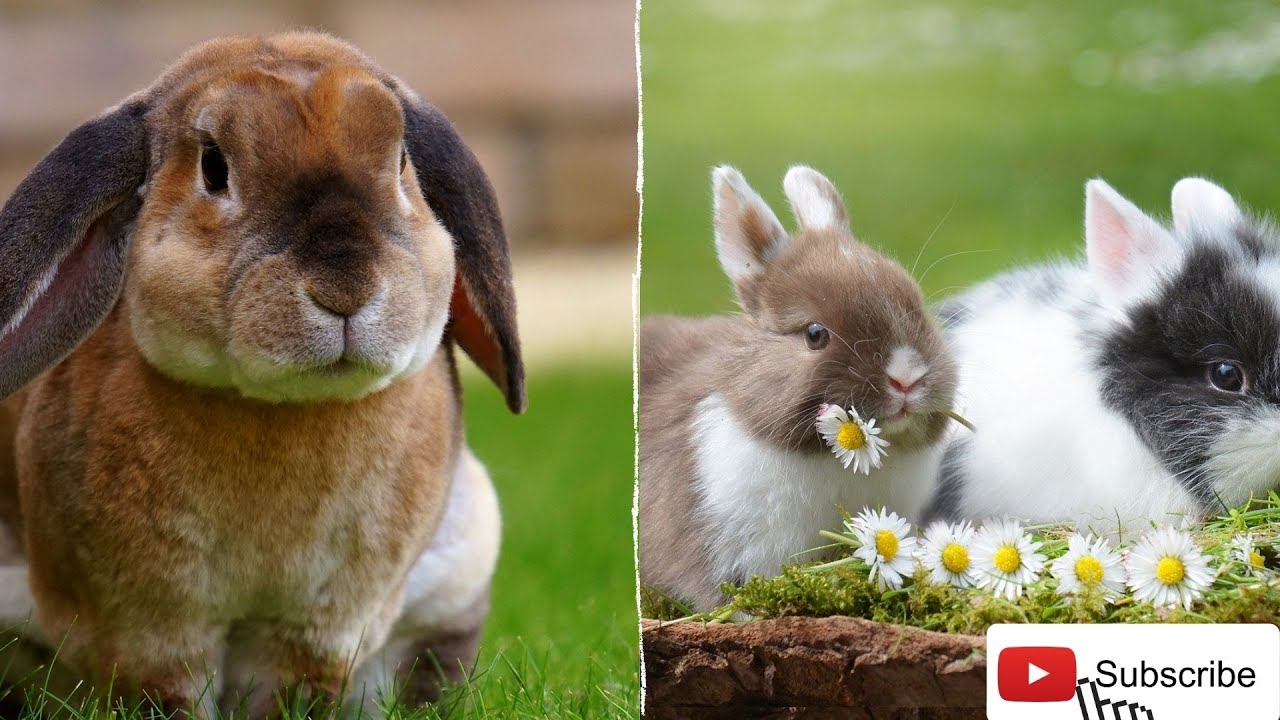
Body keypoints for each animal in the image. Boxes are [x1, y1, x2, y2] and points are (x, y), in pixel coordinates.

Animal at [0, 32, 524, 717]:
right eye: (214, 167)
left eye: (401, 161)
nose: (344, 288)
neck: (280, 409)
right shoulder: (150, 630)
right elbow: (170, 694)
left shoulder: (317, 630)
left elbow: (289, 694)